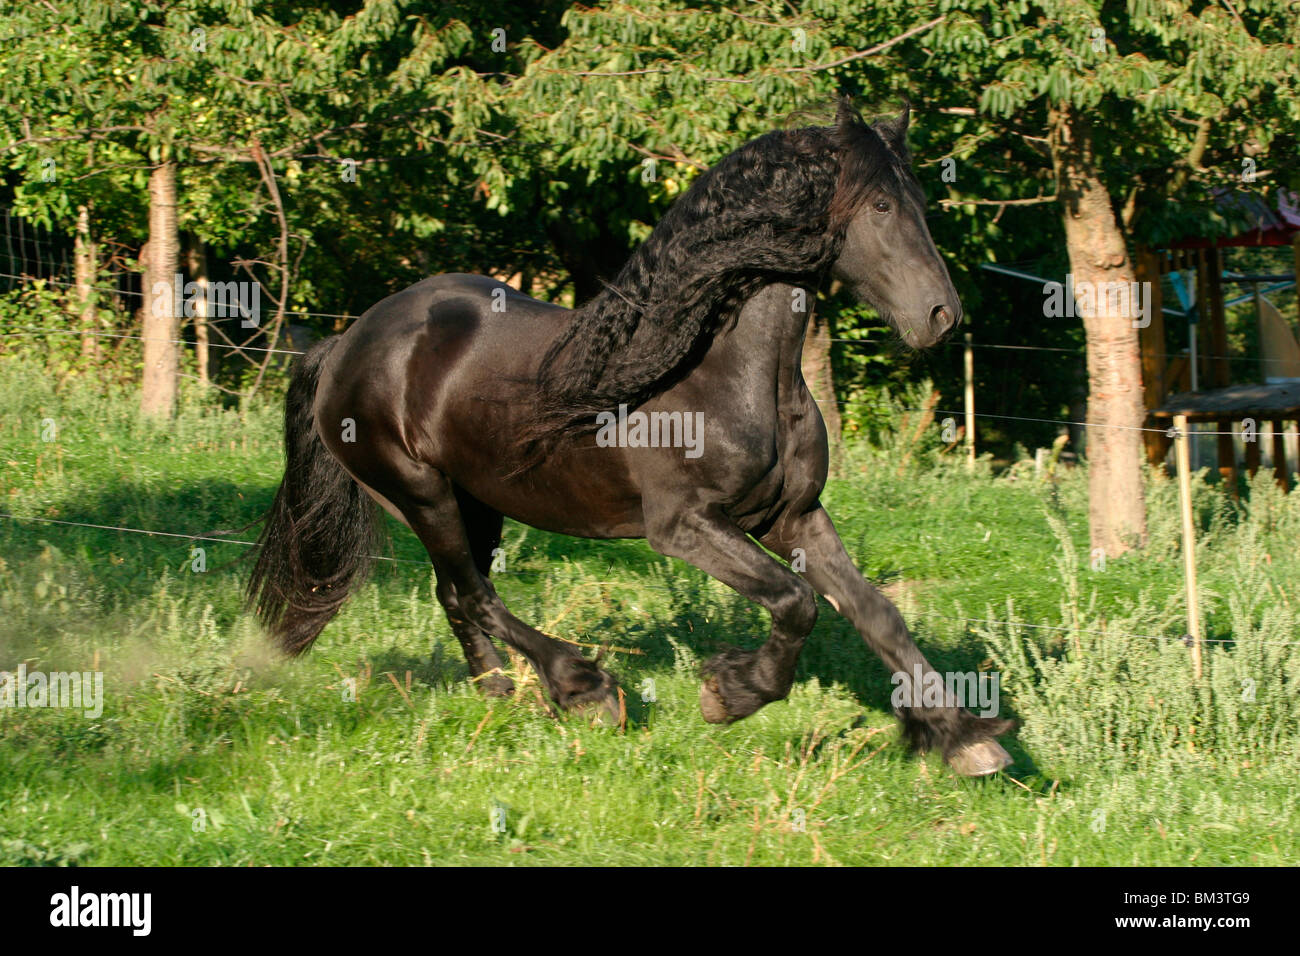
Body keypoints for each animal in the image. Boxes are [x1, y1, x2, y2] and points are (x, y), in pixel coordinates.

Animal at [248, 99, 1014, 777]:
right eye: (881, 206)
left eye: (919, 201)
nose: (942, 316)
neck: (718, 372)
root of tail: (347, 343)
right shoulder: (685, 526)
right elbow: (795, 604)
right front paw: (729, 695)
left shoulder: (793, 517)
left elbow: (876, 613)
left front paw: (965, 740)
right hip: (419, 493)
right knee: (474, 594)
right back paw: (585, 690)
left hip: (476, 502)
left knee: (458, 593)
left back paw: (499, 694)